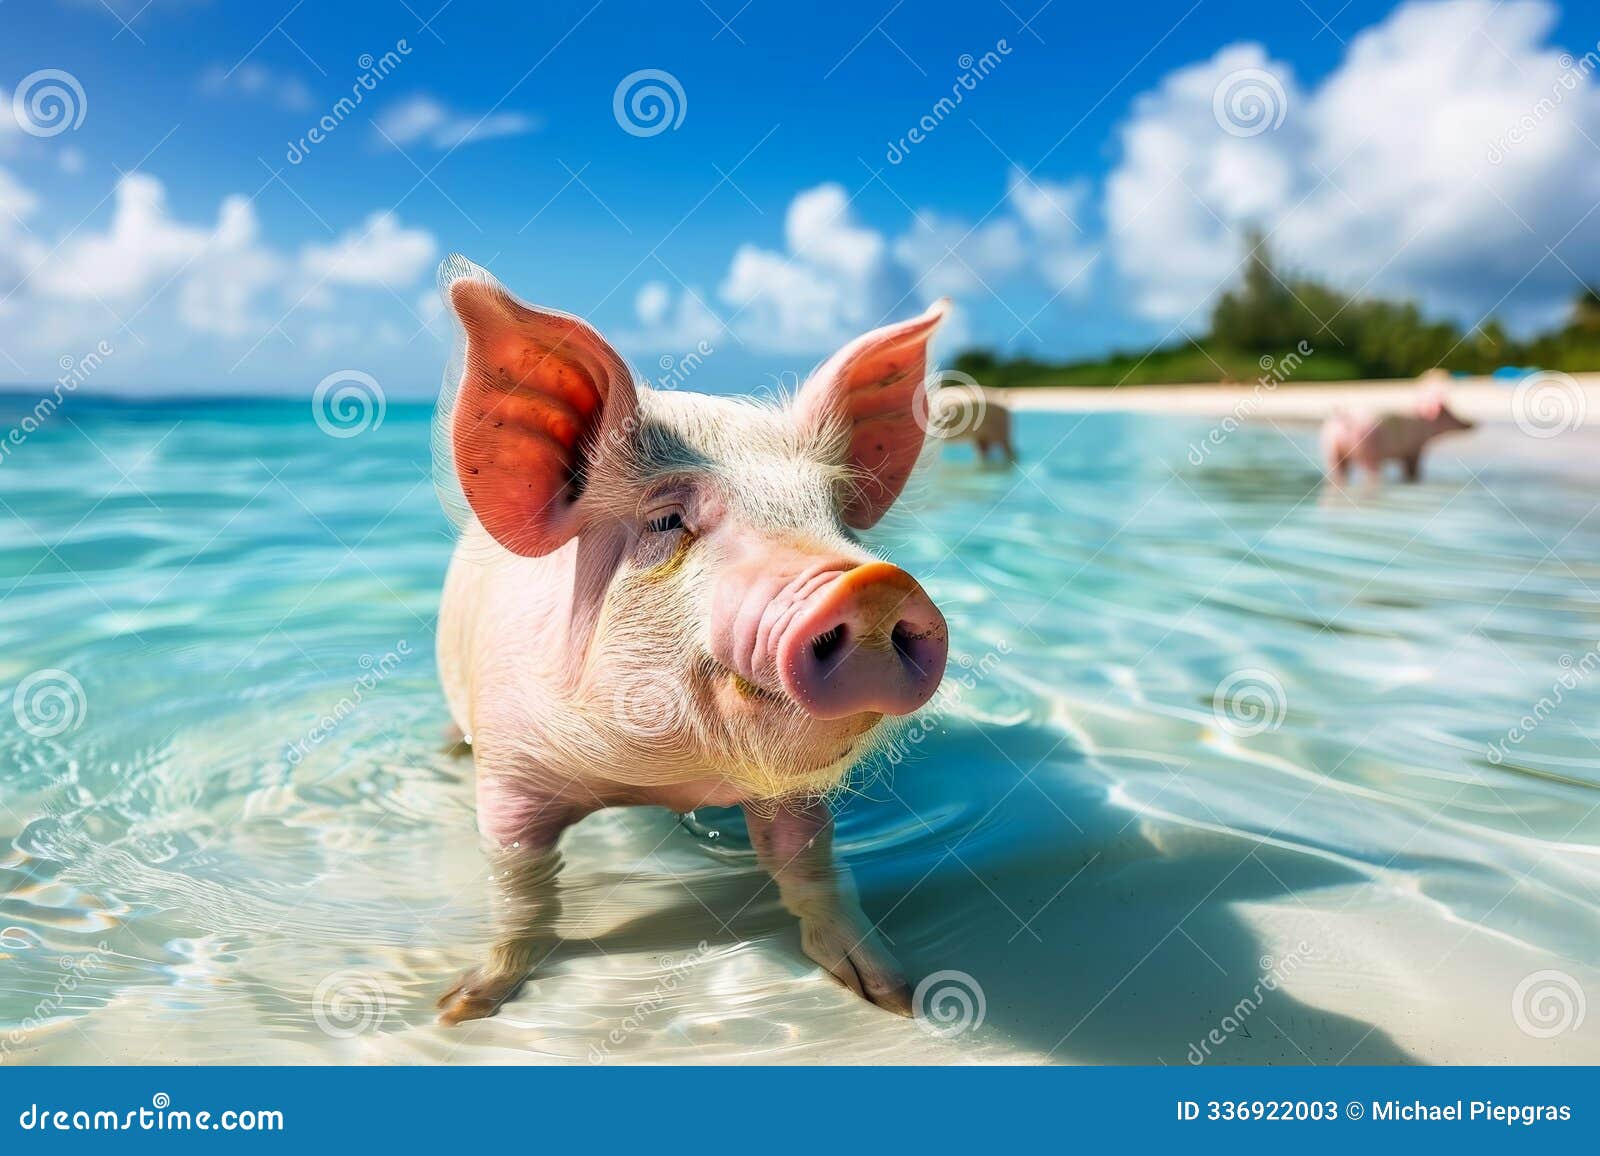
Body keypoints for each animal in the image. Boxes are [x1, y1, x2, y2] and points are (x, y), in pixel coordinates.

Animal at [430, 256, 952, 1024]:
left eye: (833, 515)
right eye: (668, 521)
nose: (875, 584)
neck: (653, 780)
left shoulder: (791, 794)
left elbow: (809, 864)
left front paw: (893, 995)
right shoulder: (510, 765)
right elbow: (521, 886)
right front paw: (463, 1006)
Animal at [1320, 386, 1475, 483]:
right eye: (1449, 413)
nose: (1472, 423)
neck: (1424, 423)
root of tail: (1344, 417)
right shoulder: (1415, 449)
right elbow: (1413, 469)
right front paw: (1414, 479)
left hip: (1330, 447)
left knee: (1338, 469)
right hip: (1366, 450)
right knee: (1371, 471)